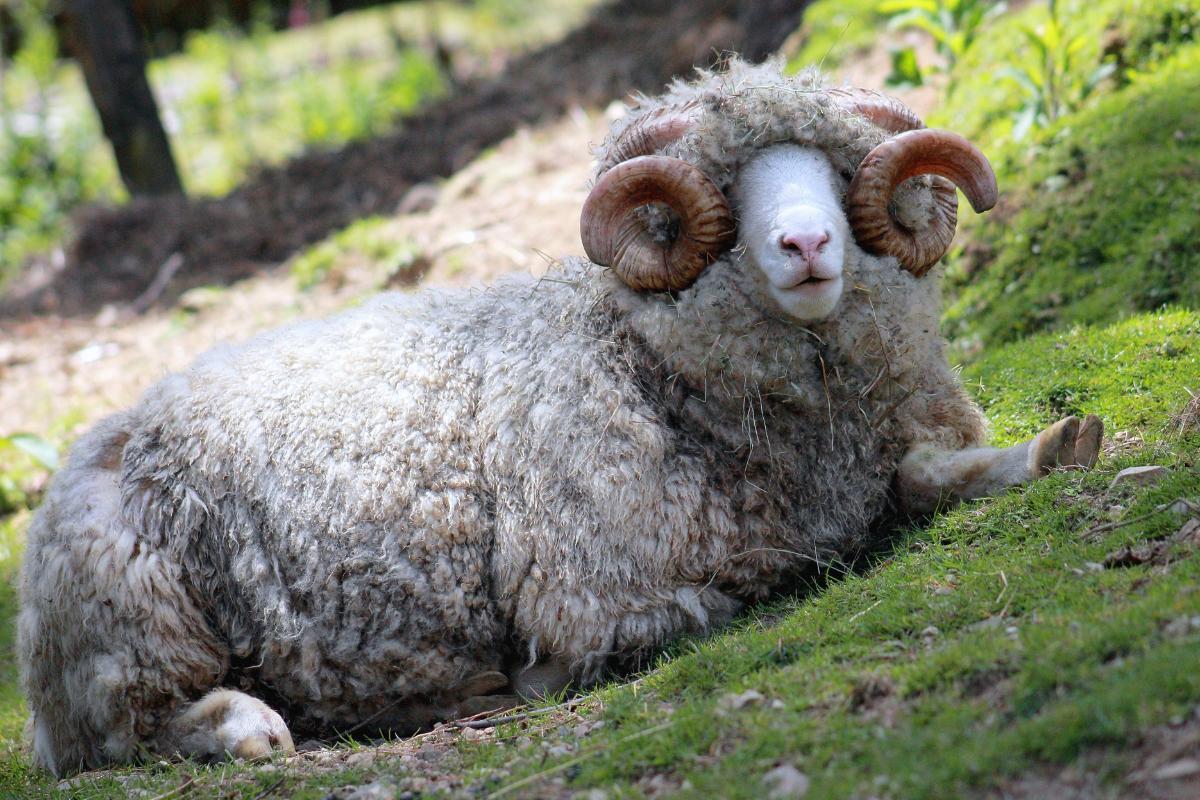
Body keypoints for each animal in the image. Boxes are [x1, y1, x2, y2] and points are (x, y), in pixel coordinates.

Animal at [18, 59, 1103, 776]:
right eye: (725, 186)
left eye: (838, 171)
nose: (805, 244)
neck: (634, 353)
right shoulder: (588, 588)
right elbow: (708, 605)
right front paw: (534, 680)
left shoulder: (890, 440)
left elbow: (935, 475)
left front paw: (1058, 445)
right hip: (136, 627)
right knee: (128, 729)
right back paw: (251, 724)